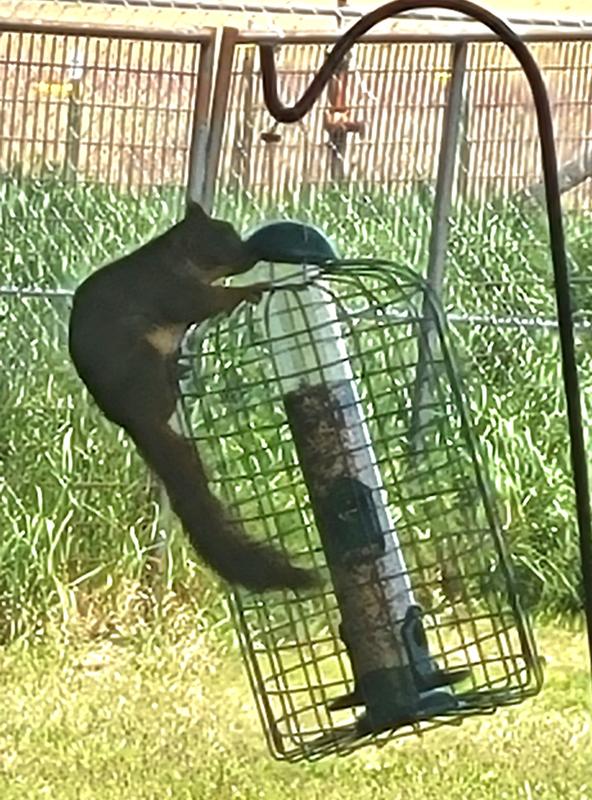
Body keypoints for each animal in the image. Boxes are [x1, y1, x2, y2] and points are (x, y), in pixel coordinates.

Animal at [68, 200, 315, 592]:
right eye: (220, 236)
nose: (251, 253)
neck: (175, 258)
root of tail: (135, 420)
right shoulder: (170, 289)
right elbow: (202, 303)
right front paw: (252, 288)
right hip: (143, 361)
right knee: (162, 392)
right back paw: (174, 376)